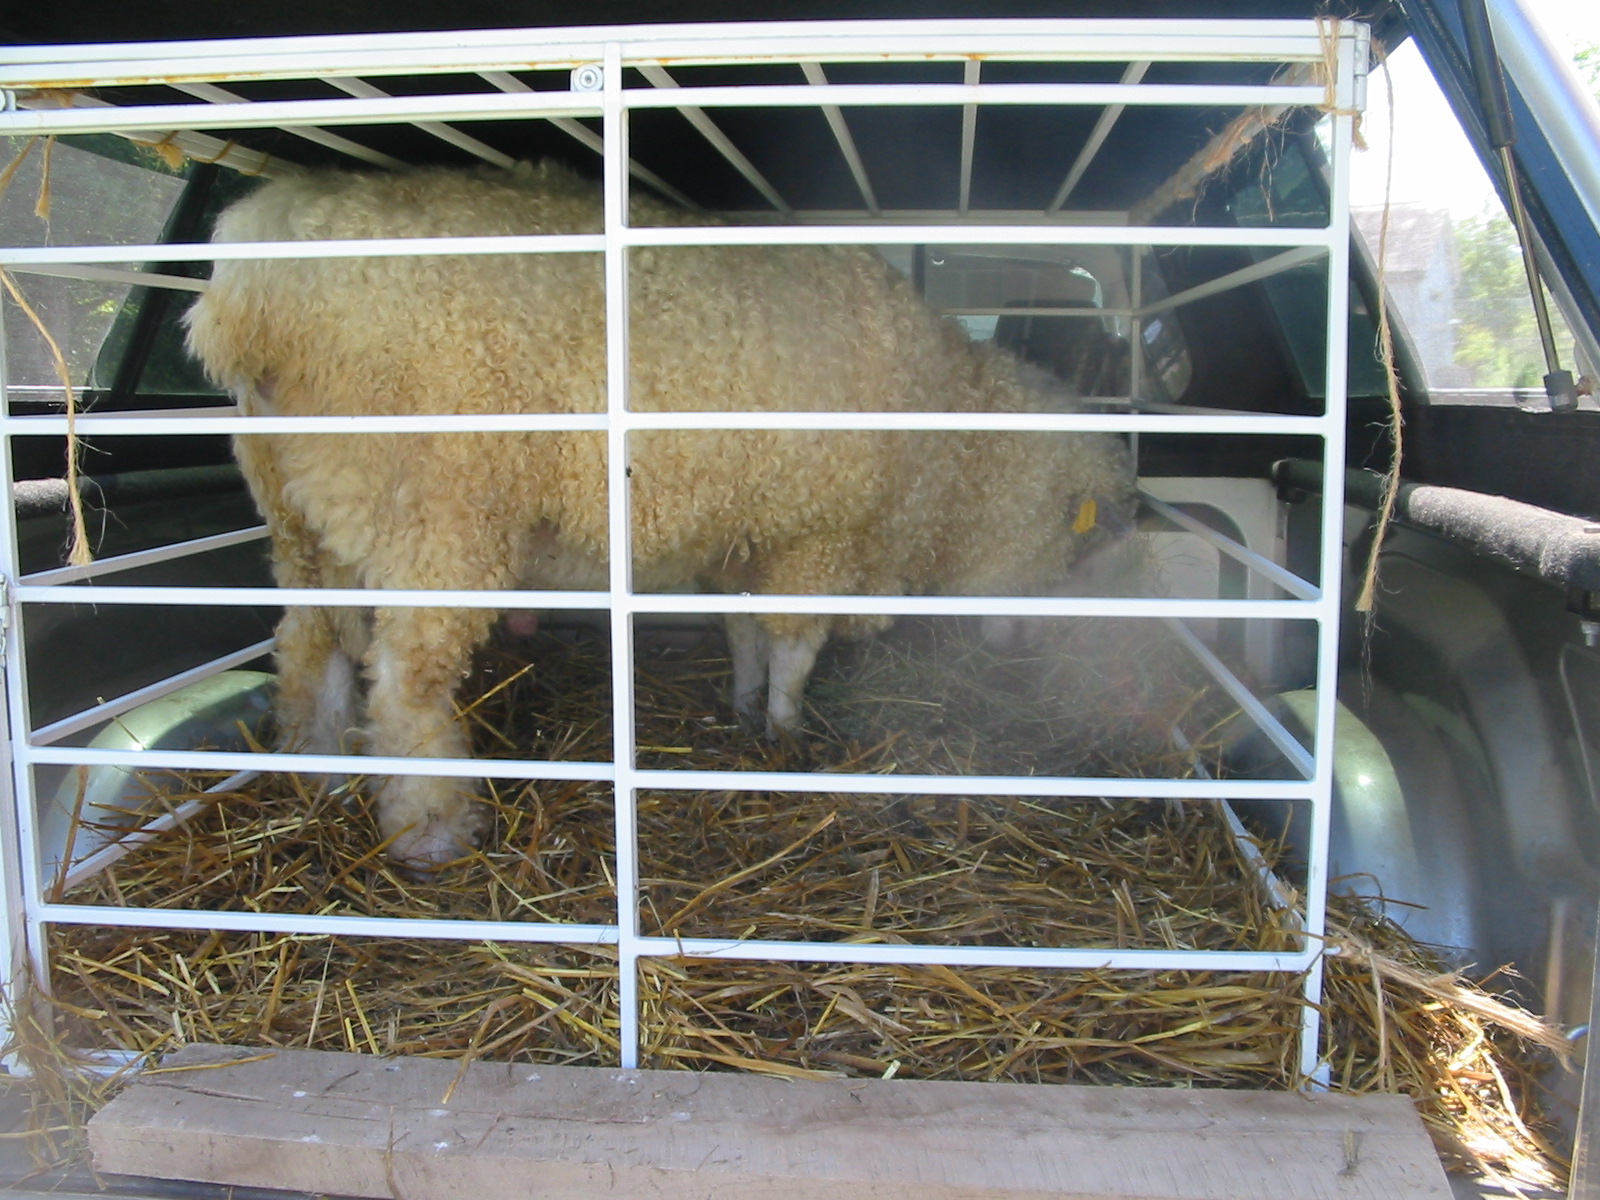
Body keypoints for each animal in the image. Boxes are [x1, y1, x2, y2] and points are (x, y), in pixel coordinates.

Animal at [185, 161, 1137, 868]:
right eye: (1068, 537)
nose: (1023, 641)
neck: (943, 437)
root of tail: (257, 280)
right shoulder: (820, 533)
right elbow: (795, 646)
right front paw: (787, 732)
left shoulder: (746, 532)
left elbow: (744, 632)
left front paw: (745, 710)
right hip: (438, 508)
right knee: (406, 679)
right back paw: (433, 829)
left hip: (298, 505)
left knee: (307, 644)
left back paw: (317, 774)